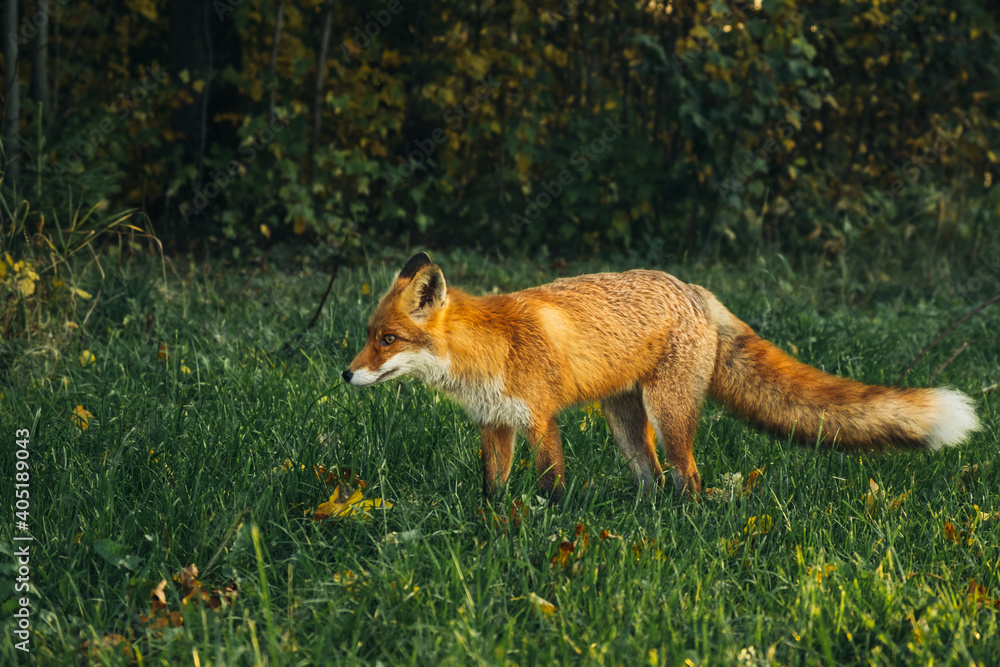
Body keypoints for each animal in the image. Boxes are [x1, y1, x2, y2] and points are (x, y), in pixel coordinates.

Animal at [342, 252, 980, 502]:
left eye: (388, 340)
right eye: (369, 334)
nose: (345, 374)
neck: (486, 351)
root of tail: (694, 288)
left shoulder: (540, 420)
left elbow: (550, 485)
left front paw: (546, 530)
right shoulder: (495, 425)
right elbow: (492, 490)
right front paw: (495, 524)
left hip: (668, 414)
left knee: (688, 477)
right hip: (625, 423)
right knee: (652, 479)